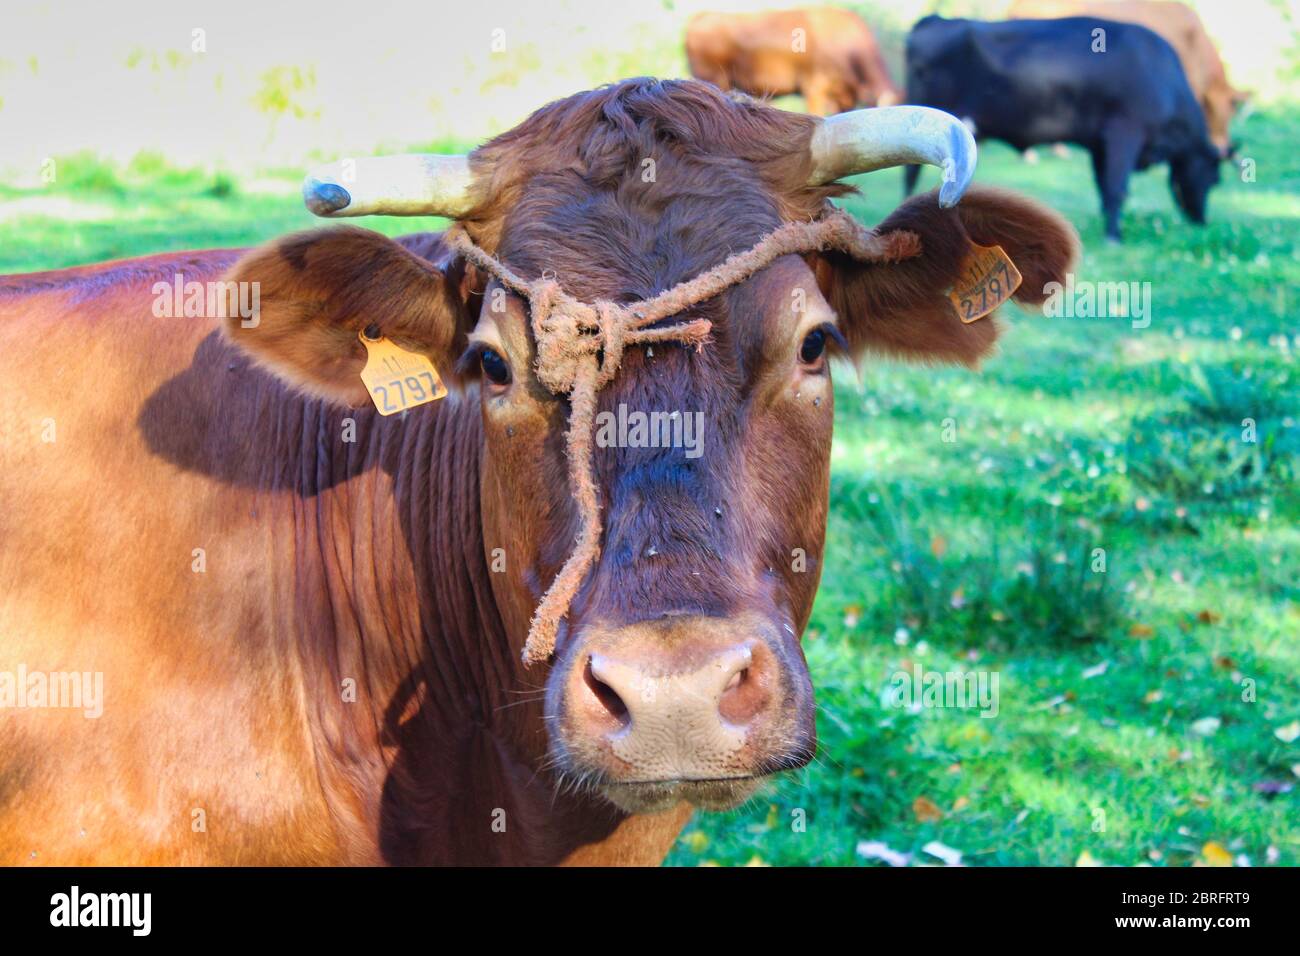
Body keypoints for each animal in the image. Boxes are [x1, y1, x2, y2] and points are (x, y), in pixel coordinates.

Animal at [902, 16, 1224, 241]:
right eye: (1214, 178)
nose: (1203, 222)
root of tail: (935, 19)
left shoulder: (1100, 144)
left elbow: (1103, 186)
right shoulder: (1125, 132)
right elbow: (1117, 188)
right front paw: (1114, 236)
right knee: (909, 173)